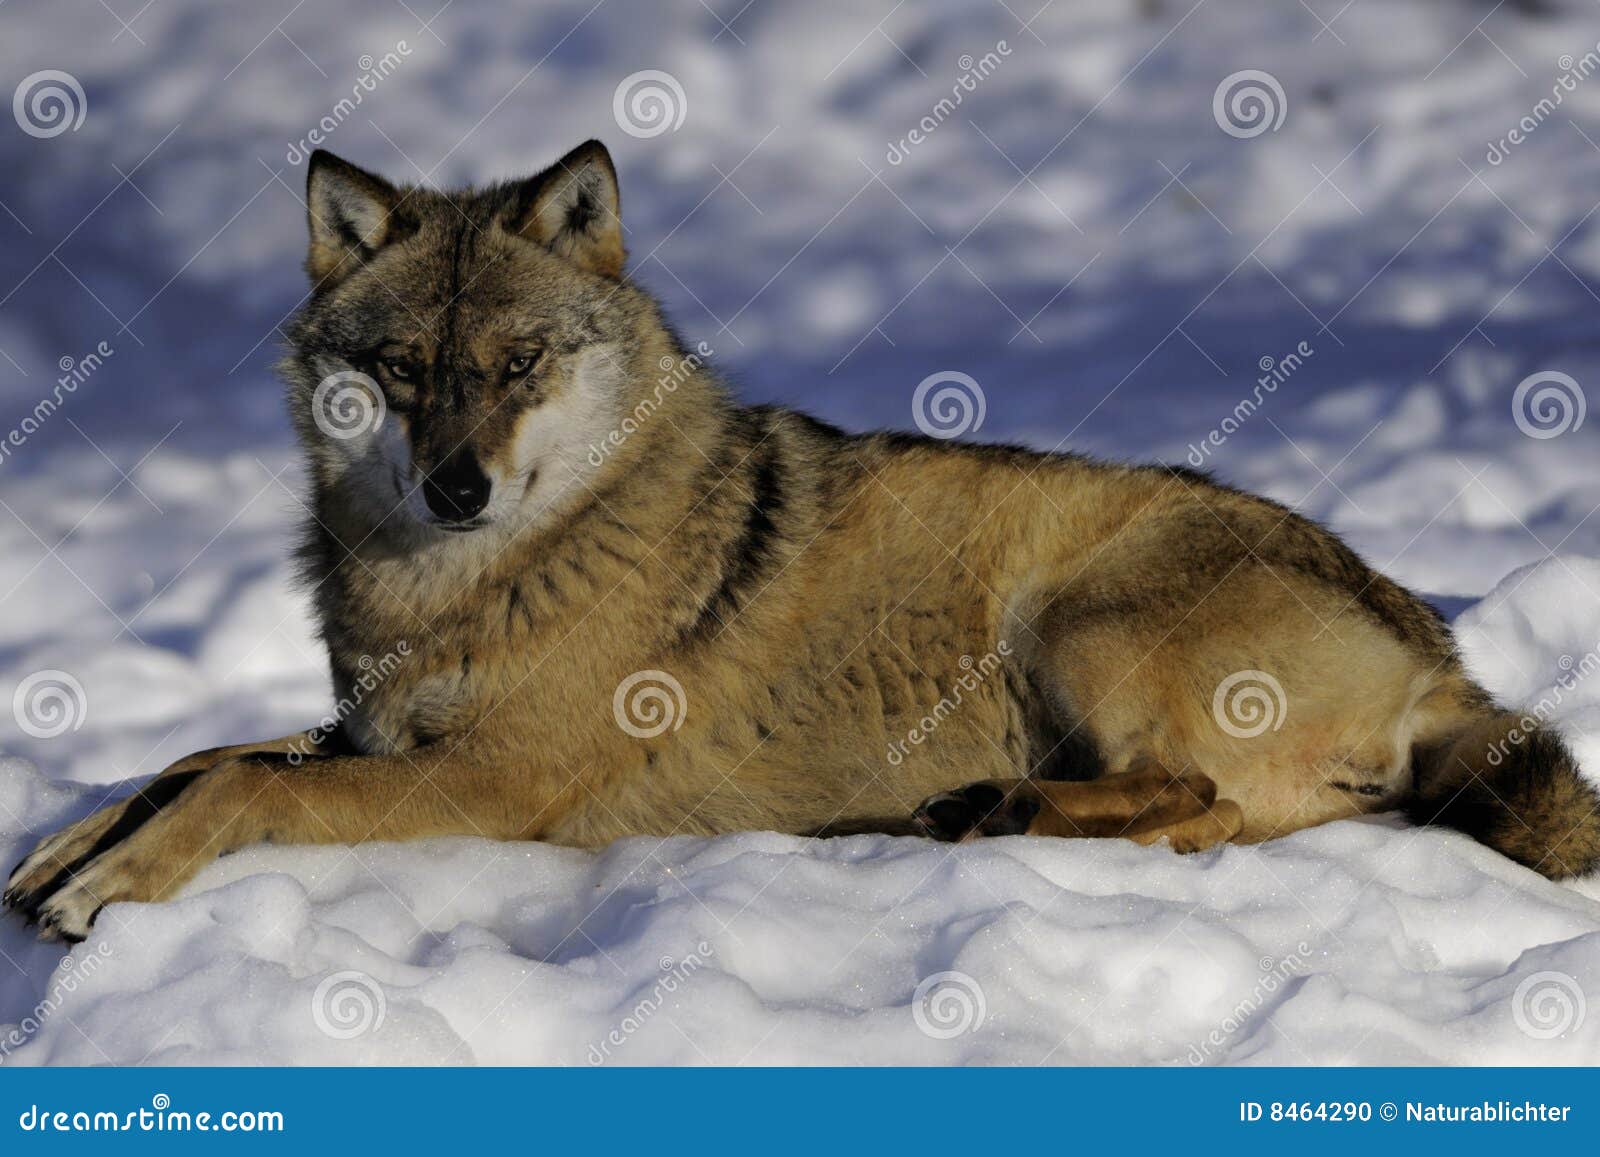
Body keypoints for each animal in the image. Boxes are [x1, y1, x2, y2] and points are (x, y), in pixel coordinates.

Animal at [8, 141, 1599, 942]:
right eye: (402, 368)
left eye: (519, 364)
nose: (457, 486)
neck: (464, 579)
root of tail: (1437, 647)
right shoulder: (381, 730)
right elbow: (194, 754)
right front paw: (67, 846)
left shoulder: (491, 781)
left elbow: (241, 786)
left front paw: (103, 884)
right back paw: (972, 811)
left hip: (1073, 614)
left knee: (1196, 799)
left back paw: (989, 813)